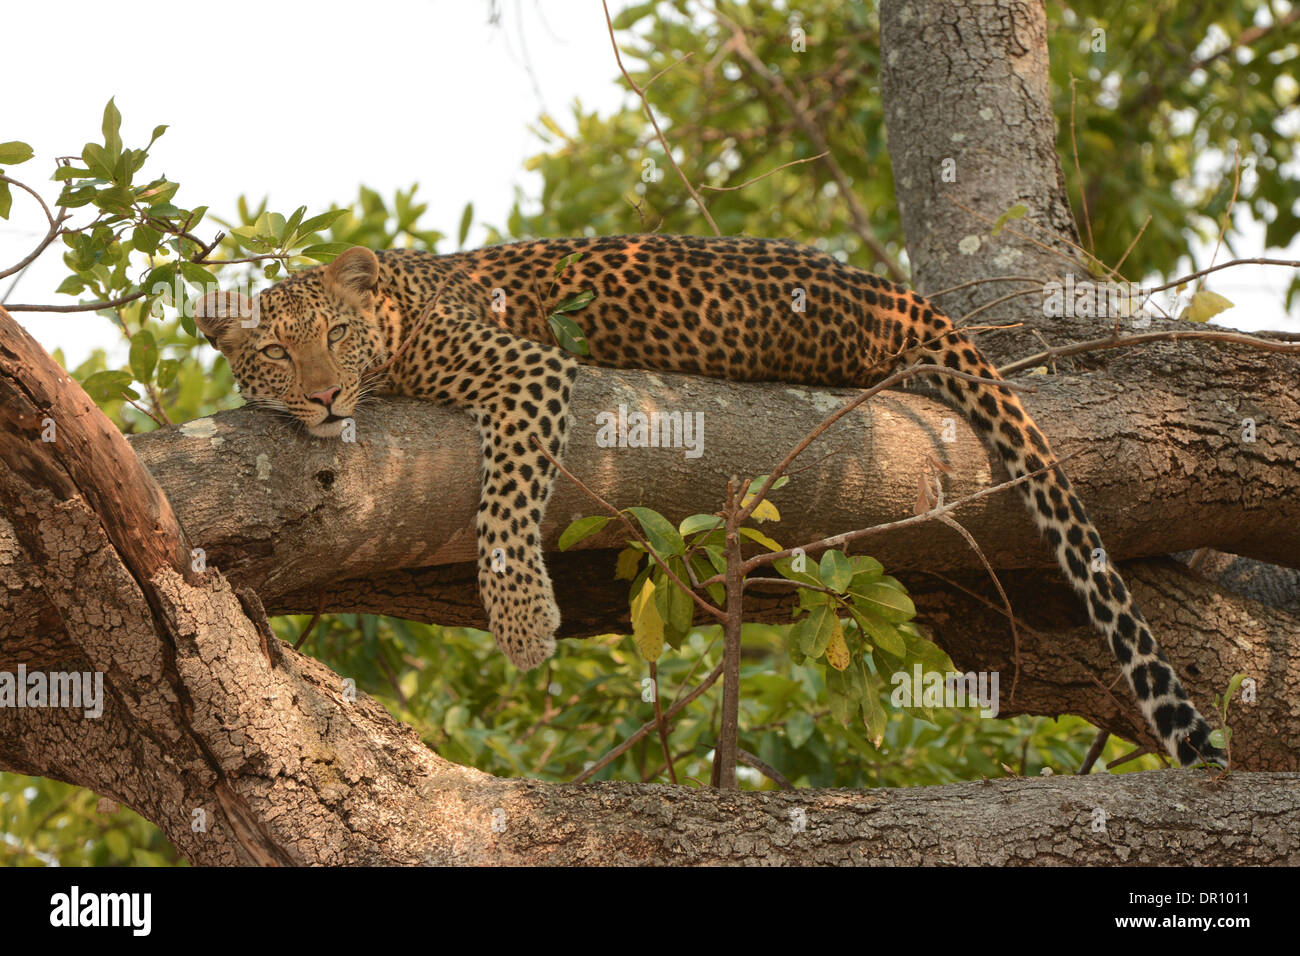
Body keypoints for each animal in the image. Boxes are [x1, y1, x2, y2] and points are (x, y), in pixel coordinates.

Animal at [194, 233, 1225, 768]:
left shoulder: (527, 370)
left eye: (336, 334)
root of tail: (892, 291)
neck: (398, 315)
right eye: (278, 352)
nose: (327, 396)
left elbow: (508, 496)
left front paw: (522, 618)